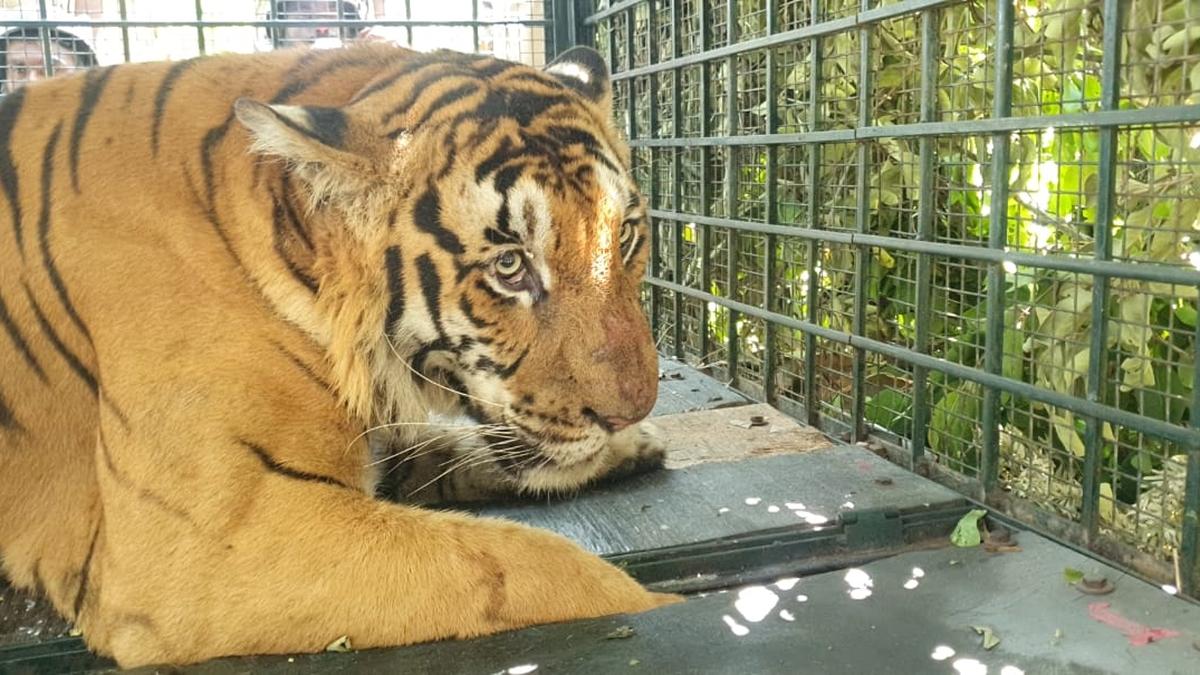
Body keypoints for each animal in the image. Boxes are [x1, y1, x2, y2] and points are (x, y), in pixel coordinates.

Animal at [0, 42, 682, 668]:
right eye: (509, 266)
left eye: (624, 235)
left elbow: (444, 452)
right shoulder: (208, 546)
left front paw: (633, 446)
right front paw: (661, 605)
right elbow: (529, 566)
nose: (631, 410)